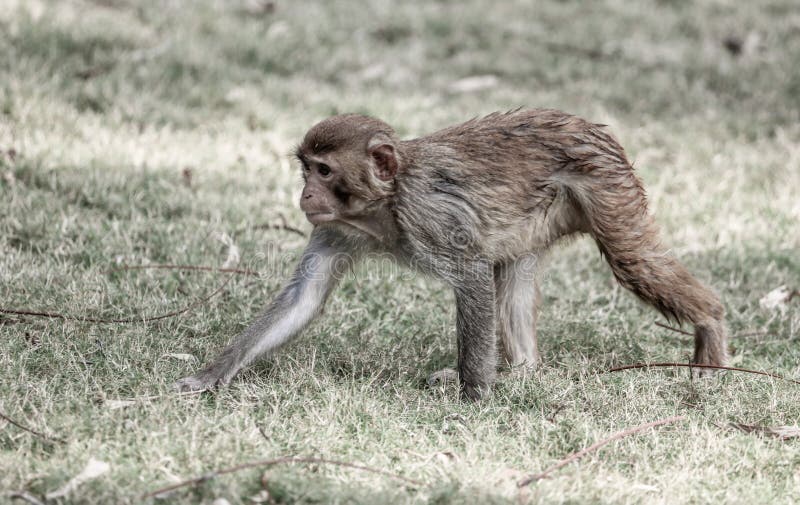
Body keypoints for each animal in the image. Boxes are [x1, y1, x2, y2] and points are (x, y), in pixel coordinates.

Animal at [174, 109, 728, 400]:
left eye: (325, 172)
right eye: (306, 168)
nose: (306, 195)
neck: (387, 204)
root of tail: (590, 128)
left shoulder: (431, 217)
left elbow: (473, 277)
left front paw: (475, 395)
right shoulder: (337, 229)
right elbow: (302, 299)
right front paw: (212, 375)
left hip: (607, 185)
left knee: (632, 259)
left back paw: (711, 323)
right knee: (514, 275)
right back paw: (522, 371)